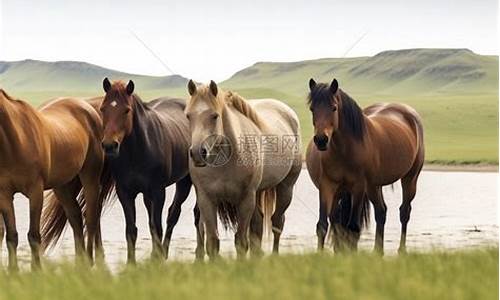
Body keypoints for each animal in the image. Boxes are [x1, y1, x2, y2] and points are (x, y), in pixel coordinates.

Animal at [0, 89, 110, 270]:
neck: (16, 139)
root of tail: (89, 107)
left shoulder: (35, 191)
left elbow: (34, 235)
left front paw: (36, 270)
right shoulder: (5, 194)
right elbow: (11, 236)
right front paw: (13, 272)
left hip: (90, 177)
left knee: (91, 216)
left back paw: (89, 260)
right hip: (62, 186)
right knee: (76, 217)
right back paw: (79, 262)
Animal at [185, 81, 298, 258]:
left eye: (215, 116)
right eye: (189, 116)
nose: (197, 153)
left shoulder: (246, 199)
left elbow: (241, 242)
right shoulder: (206, 199)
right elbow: (213, 242)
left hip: (286, 188)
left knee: (277, 223)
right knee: (258, 223)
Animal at [306, 78, 424, 254]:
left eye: (334, 108)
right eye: (312, 109)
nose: (321, 140)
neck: (344, 150)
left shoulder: (359, 187)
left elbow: (353, 226)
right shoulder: (327, 186)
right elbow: (322, 225)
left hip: (409, 178)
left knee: (404, 212)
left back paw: (401, 250)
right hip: (374, 186)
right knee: (381, 212)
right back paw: (378, 252)